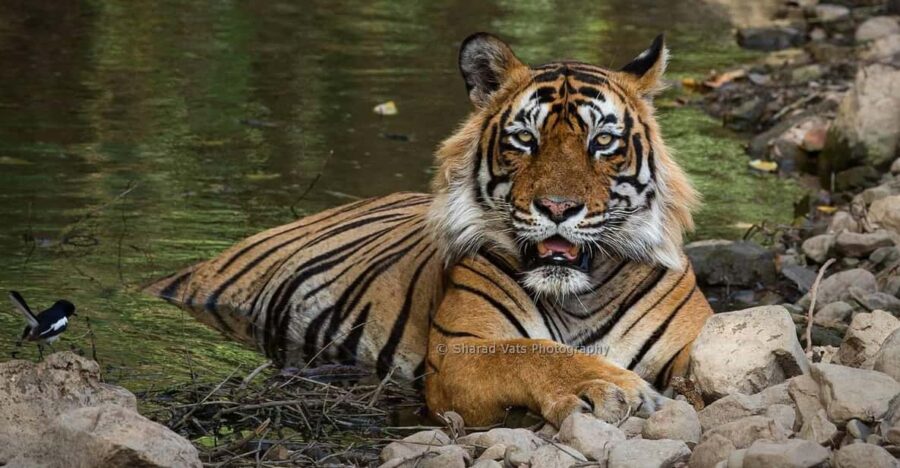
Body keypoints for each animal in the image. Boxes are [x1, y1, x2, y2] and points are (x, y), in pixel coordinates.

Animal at [146, 32, 714, 427]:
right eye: (525, 139)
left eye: (602, 142)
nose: (558, 207)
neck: (578, 297)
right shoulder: (460, 352)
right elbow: (532, 354)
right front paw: (608, 386)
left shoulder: (691, 342)